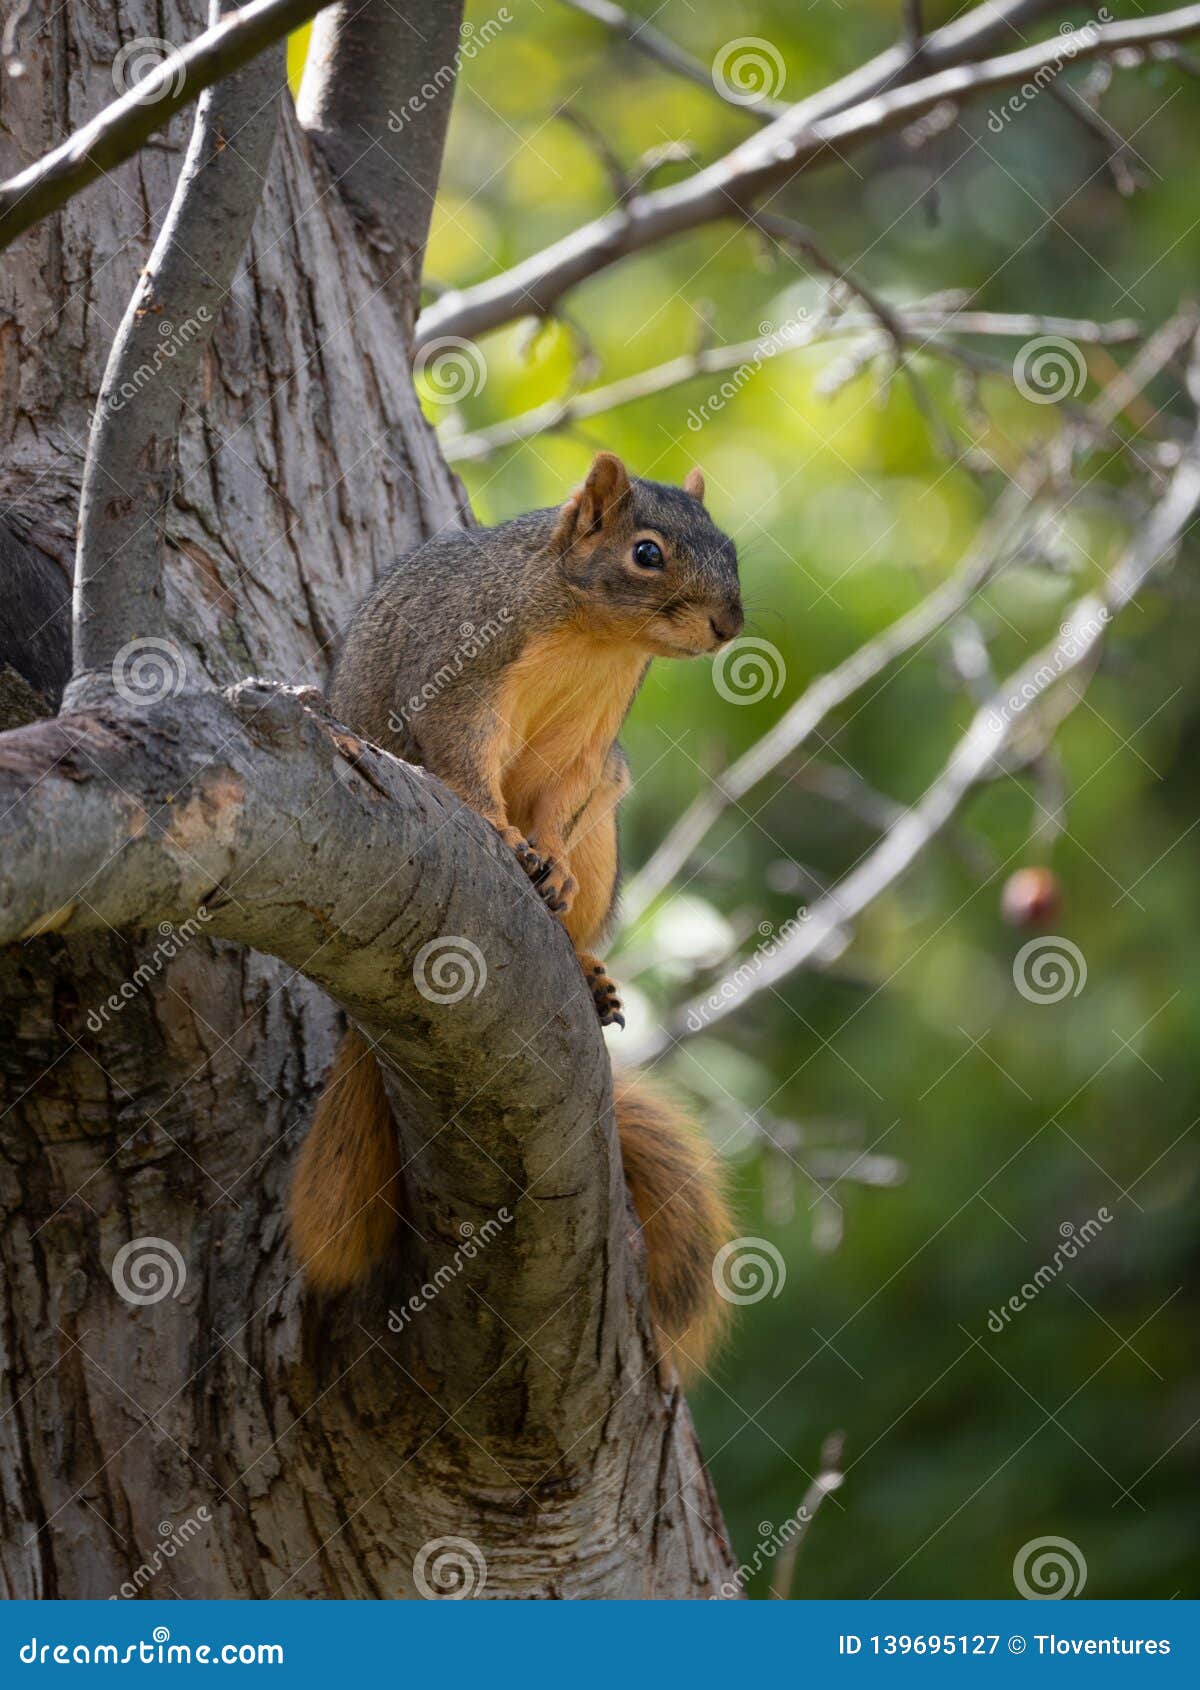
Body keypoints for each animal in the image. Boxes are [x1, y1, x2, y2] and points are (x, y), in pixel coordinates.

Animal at [289, 452, 744, 1374]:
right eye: (647, 554)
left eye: (731, 546)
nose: (728, 624)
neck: (596, 636)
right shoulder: (462, 673)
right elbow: (463, 758)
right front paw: (501, 833)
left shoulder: (589, 739)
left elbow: (564, 796)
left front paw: (549, 859)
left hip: (608, 835)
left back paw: (586, 965)